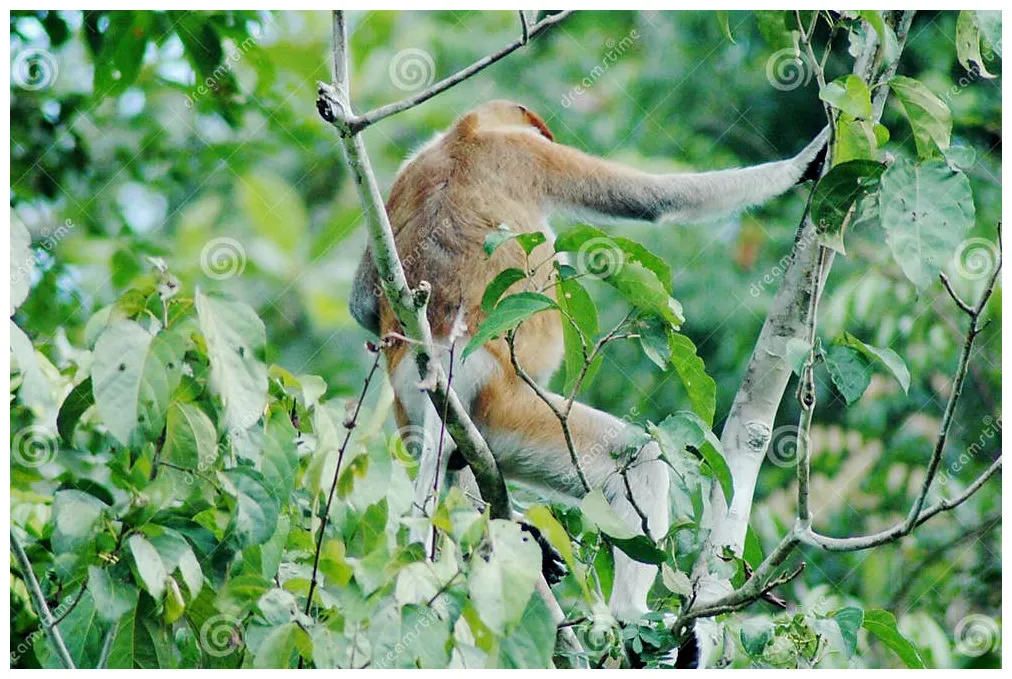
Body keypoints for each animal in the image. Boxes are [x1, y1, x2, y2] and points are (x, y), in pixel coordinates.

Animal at [347, 100, 828, 621]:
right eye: (544, 134)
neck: (463, 137)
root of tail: (437, 352)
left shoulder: (407, 168)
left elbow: (363, 300)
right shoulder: (530, 156)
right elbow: (653, 200)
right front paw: (804, 163)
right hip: (506, 406)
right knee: (641, 457)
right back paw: (631, 616)